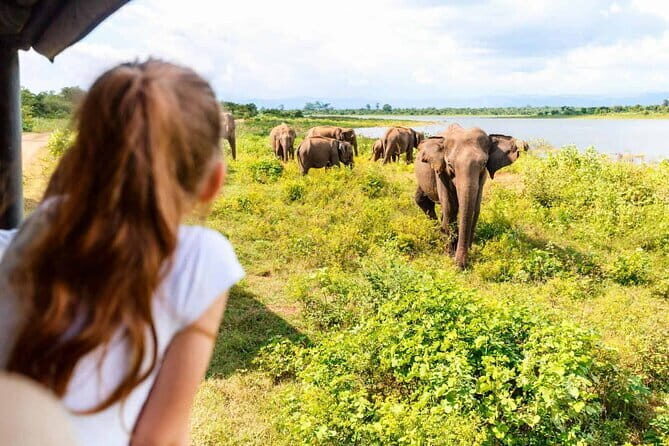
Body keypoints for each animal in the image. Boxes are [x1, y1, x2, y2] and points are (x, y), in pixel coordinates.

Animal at [414, 124, 526, 269]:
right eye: (449, 164)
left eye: (484, 163)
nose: (460, 265)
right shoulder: (441, 172)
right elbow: (450, 208)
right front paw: (450, 254)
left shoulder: (482, 177)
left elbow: (475, 209)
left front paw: (469, 250)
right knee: (424, 201)